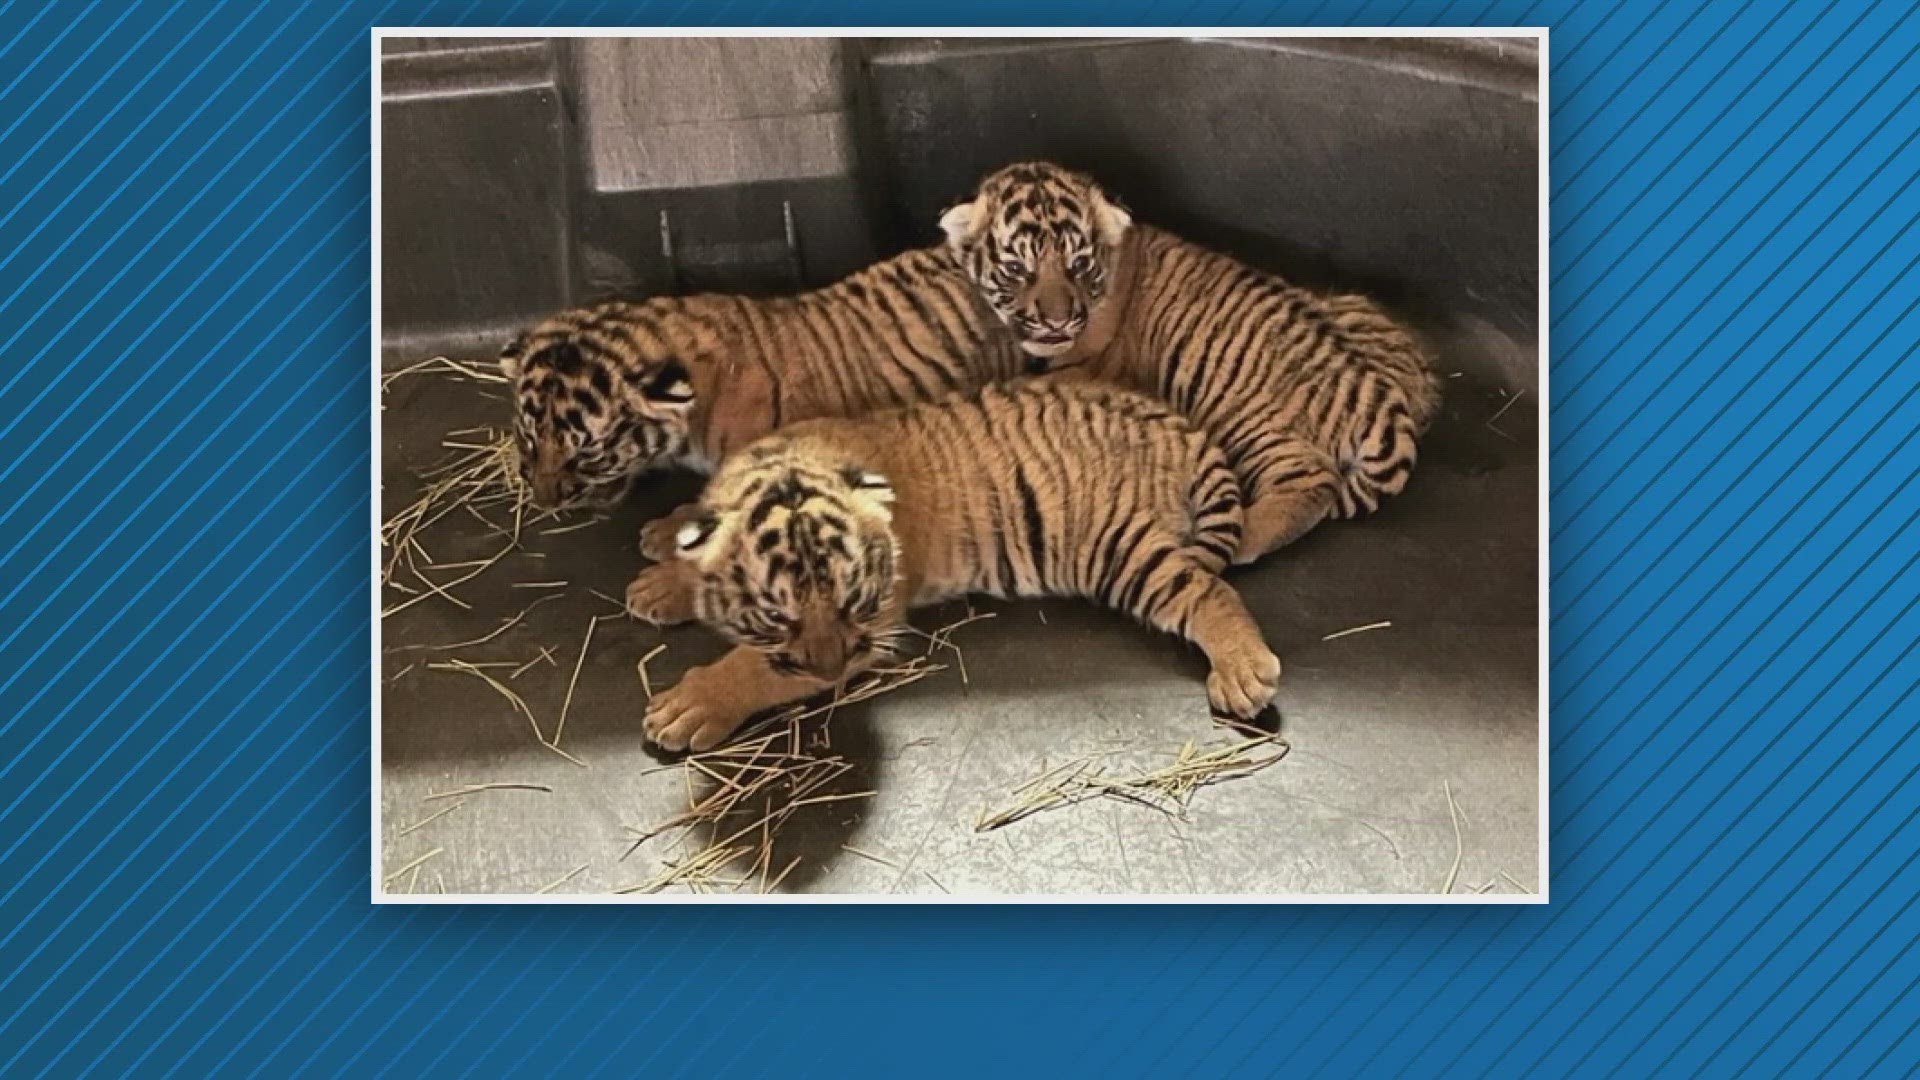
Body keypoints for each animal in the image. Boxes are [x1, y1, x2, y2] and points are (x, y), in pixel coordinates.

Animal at [624, 378, 1279, 752]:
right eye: (779, 616)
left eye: (852, 603)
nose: (832, 667)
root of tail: (1186, 428)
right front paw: (664, 562)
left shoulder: (875, 629)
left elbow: (757, 670)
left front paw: (690, 705)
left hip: (1117, 545)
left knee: (1209, 591)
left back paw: (1243, 673)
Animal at [938, 161, 1443, 564]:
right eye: (1017, 269)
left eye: (1078, 266)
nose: (1058, 320)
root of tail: (1379, 397)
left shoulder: (1089, 364)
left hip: (1249, 418)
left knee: (1312, 481)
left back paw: (1240, 542)